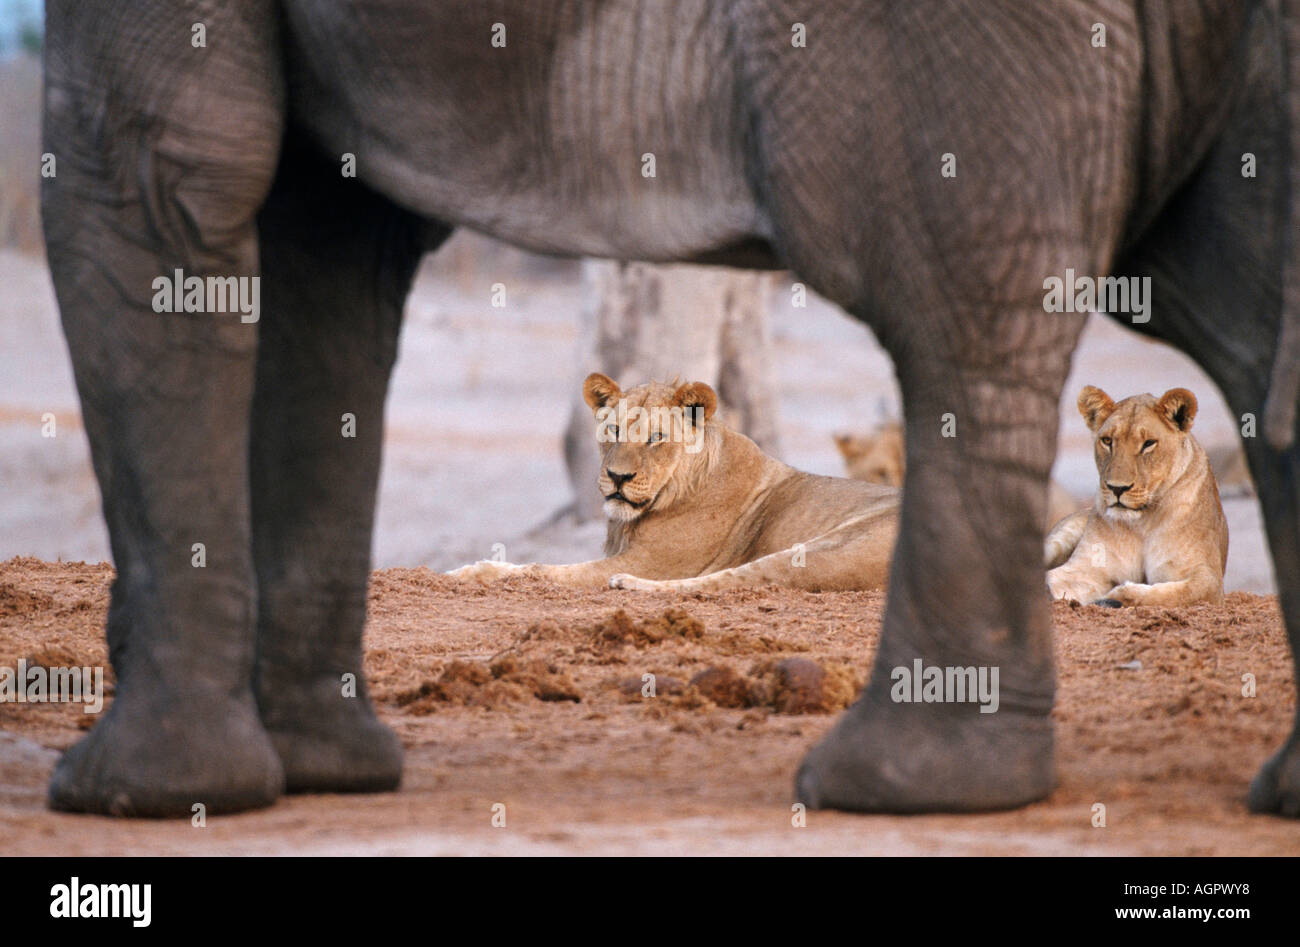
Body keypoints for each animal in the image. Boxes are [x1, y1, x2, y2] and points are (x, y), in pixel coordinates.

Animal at [448, 373, 900, 592]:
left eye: (656, 438)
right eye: (613, 430)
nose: (618, 477)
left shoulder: (651, 560)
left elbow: (541, 569)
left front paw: (470, 571)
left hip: (823, 550)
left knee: (730, 581)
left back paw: (627, 585)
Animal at [1044, 385, 1229, 607]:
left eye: (1148, 443)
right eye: (1107, 441)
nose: (1117, 488)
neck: (1143, 522)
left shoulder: (1208, 578)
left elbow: (1175, 594)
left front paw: (1116, 597)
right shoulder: (1088, 567)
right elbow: (1052, 577)